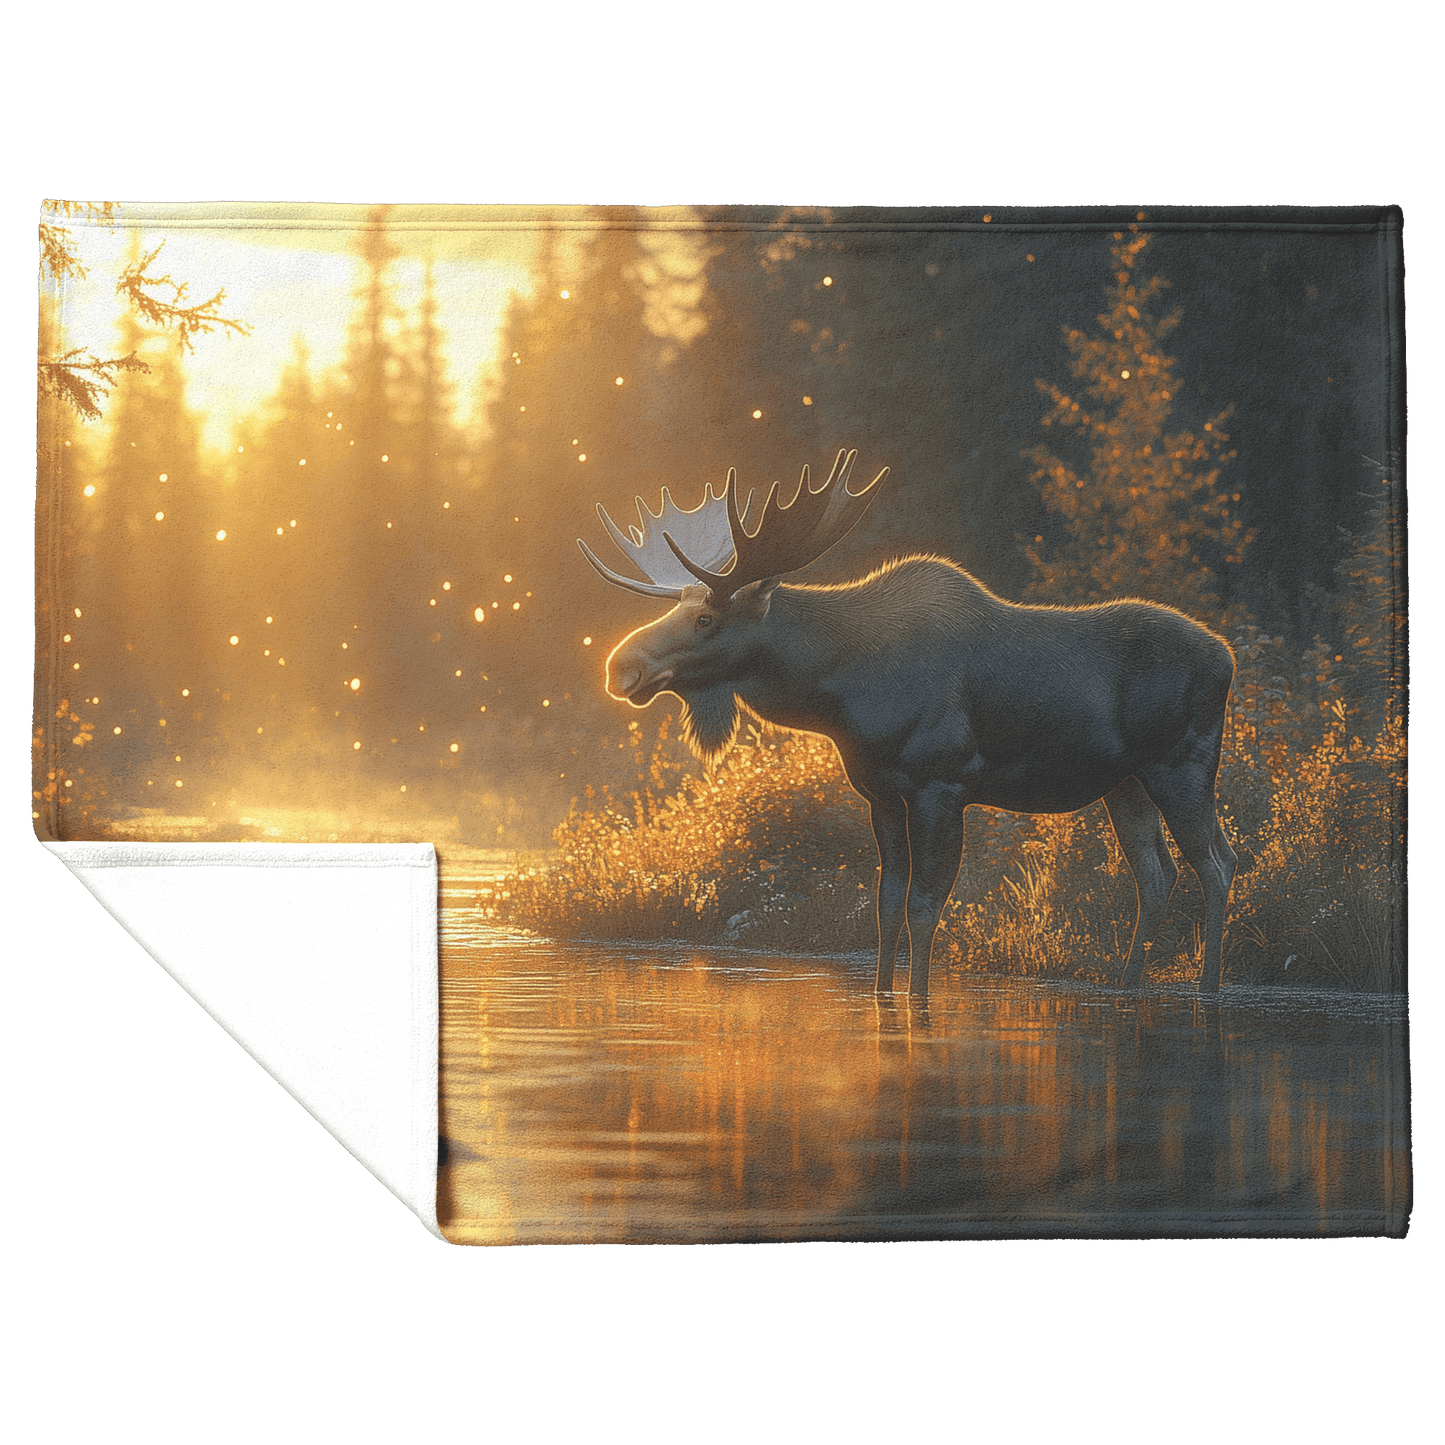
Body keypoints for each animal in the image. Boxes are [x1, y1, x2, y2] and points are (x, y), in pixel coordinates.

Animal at [579, 449, 1237, 997]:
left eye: (706, 619)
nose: (620, 667)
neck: (840, 694)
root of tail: (1227, 656)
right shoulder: (880, 794)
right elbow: (888, 906)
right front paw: (883, 998)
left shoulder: (941, 785)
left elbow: (926, 906)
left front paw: (918, 1002)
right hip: (1124, 783)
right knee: (1155, 875)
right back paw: (1129, 985)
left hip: (1183, 765)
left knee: (1217, 862)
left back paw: (1207, 988)